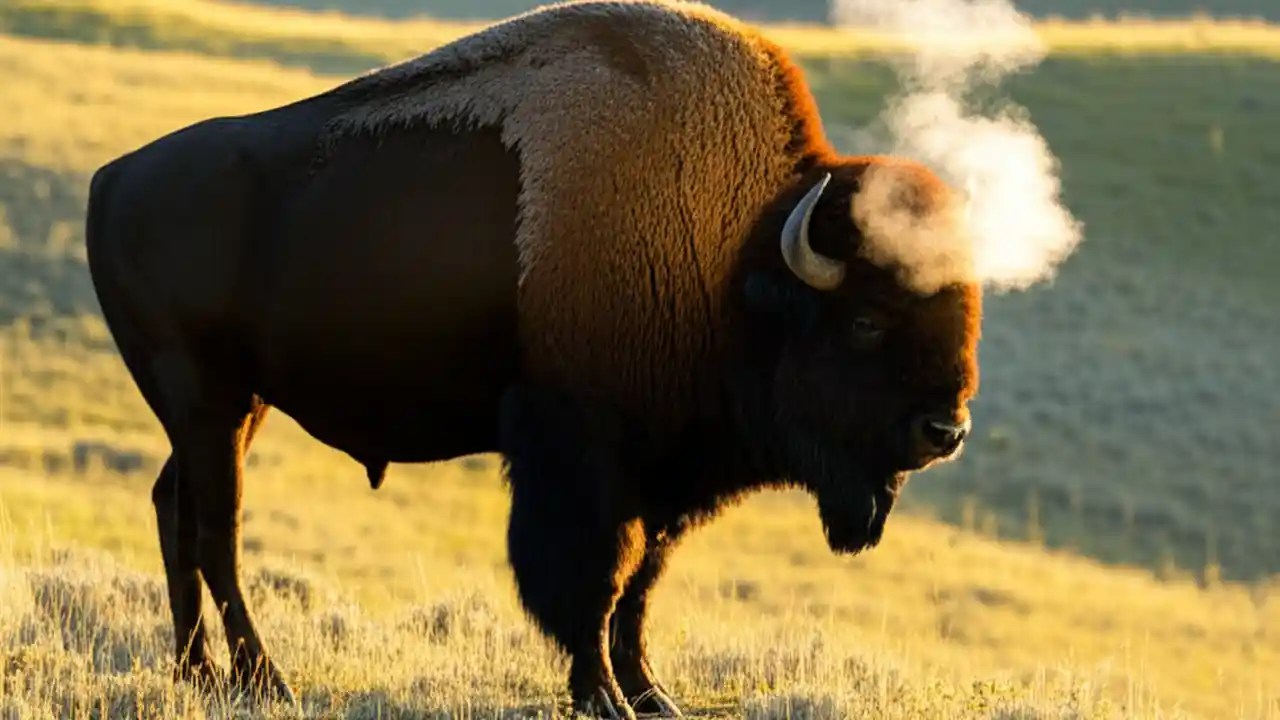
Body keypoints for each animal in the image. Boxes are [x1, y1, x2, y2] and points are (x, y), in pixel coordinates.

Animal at [85, 1, 981, 717]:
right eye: (865, 320)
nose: (945, 431)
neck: (735, 253)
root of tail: (111, 178)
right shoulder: (580, 452)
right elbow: (594, 577)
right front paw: (603, 697)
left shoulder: (660, 473)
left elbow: (641, 583)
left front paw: (652, 694)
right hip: (207, 399)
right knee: (217, 528)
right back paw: (264, 680)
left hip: (235, 407)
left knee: (174, 506)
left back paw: (196, 672)